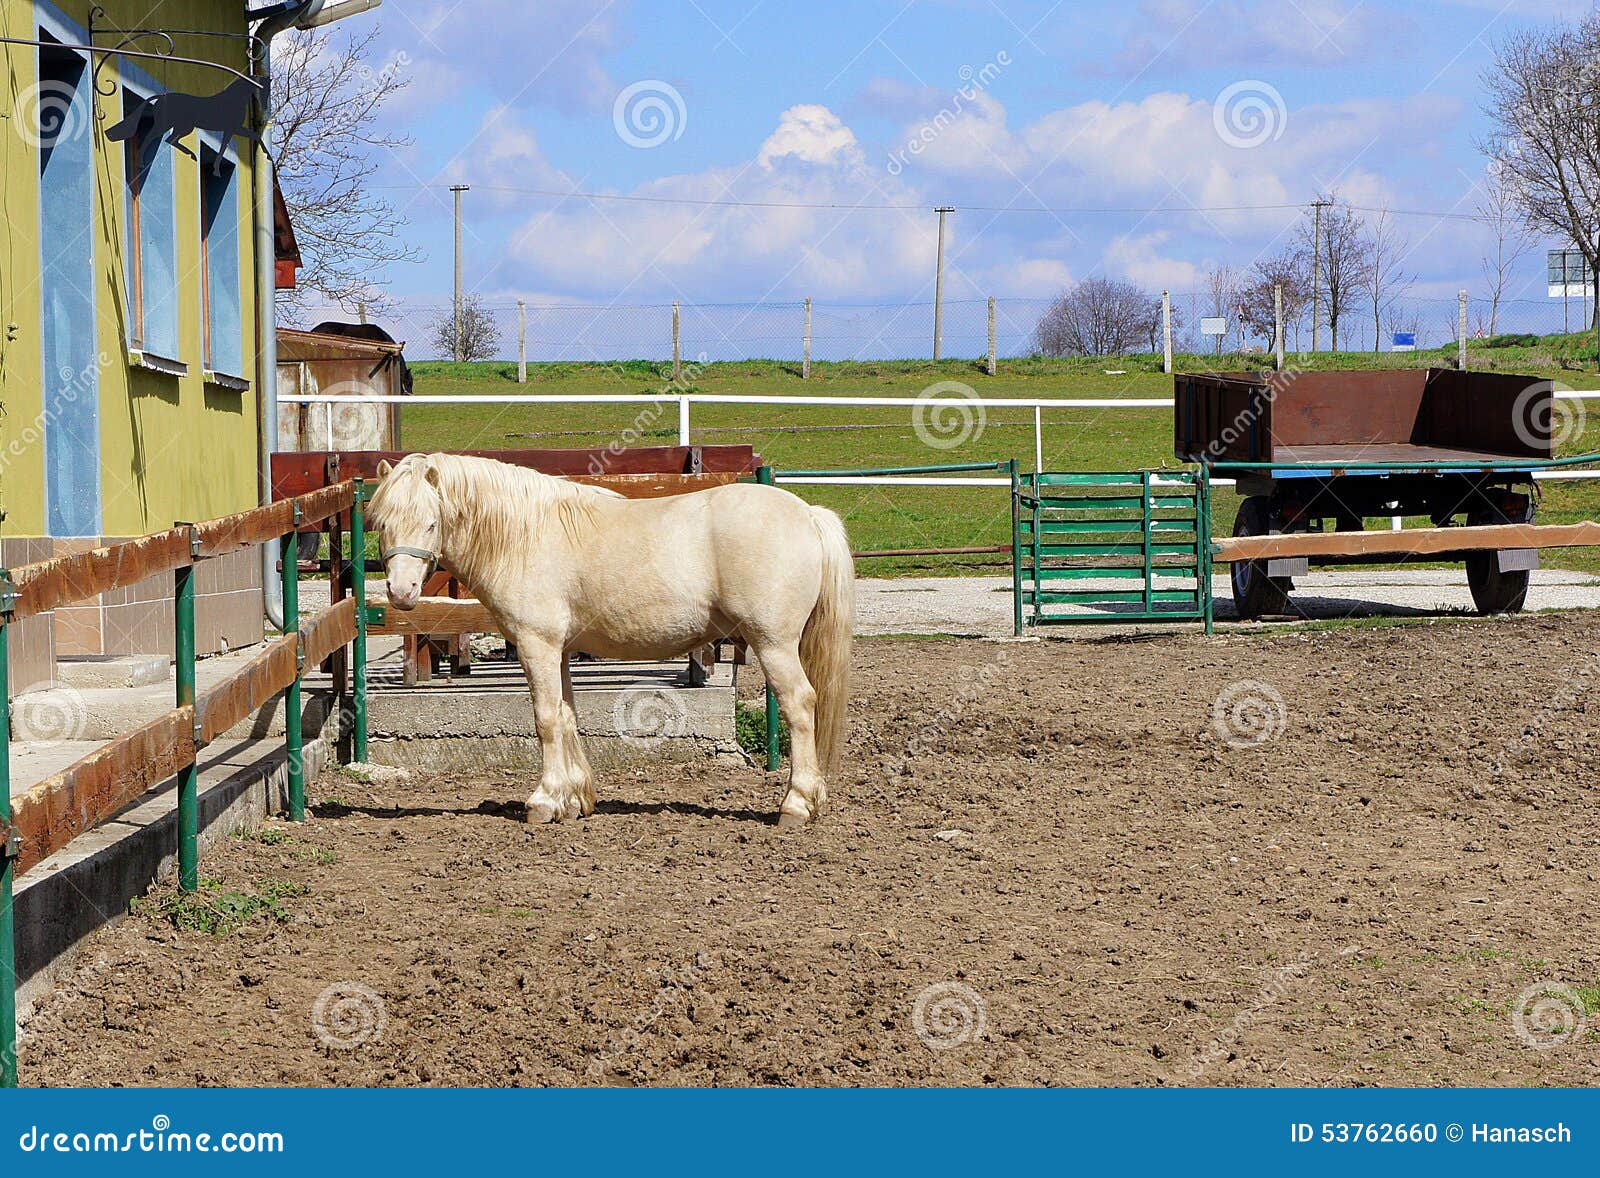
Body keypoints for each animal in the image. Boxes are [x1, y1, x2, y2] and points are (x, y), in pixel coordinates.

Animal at [366, 453, 854, 827]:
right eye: (383, 524)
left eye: (431, 524)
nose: (401, 592)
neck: (524, 536)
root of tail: (809, 514)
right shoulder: (559, 650)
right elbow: (566, 715)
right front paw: (575, 800)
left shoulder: (536, 645)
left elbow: (545, 719)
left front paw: (543, 801)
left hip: (774, 644)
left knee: (800, 706)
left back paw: (795, 805)